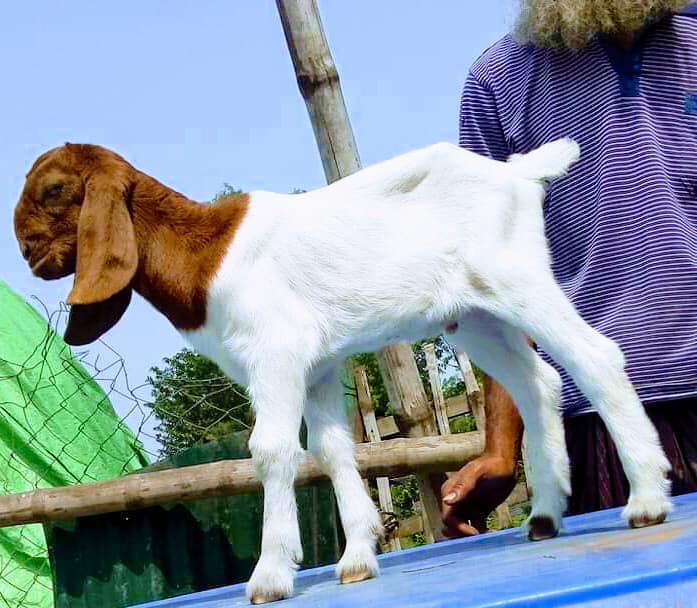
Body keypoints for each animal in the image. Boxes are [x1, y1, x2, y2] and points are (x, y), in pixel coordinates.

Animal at [14, 140, 671, 604]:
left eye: (54, 188)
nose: (24, 250)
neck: (205, 252)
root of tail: (517, 174)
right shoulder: (318, 366)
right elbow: (332, 451)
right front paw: (357, 557)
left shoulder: (275, 355)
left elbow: (271, 450)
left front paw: (271, 574)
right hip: (475, 316)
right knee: (539, 384)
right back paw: (545, 515)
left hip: (519, 281)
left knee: (596, 359)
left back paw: (645, 501)